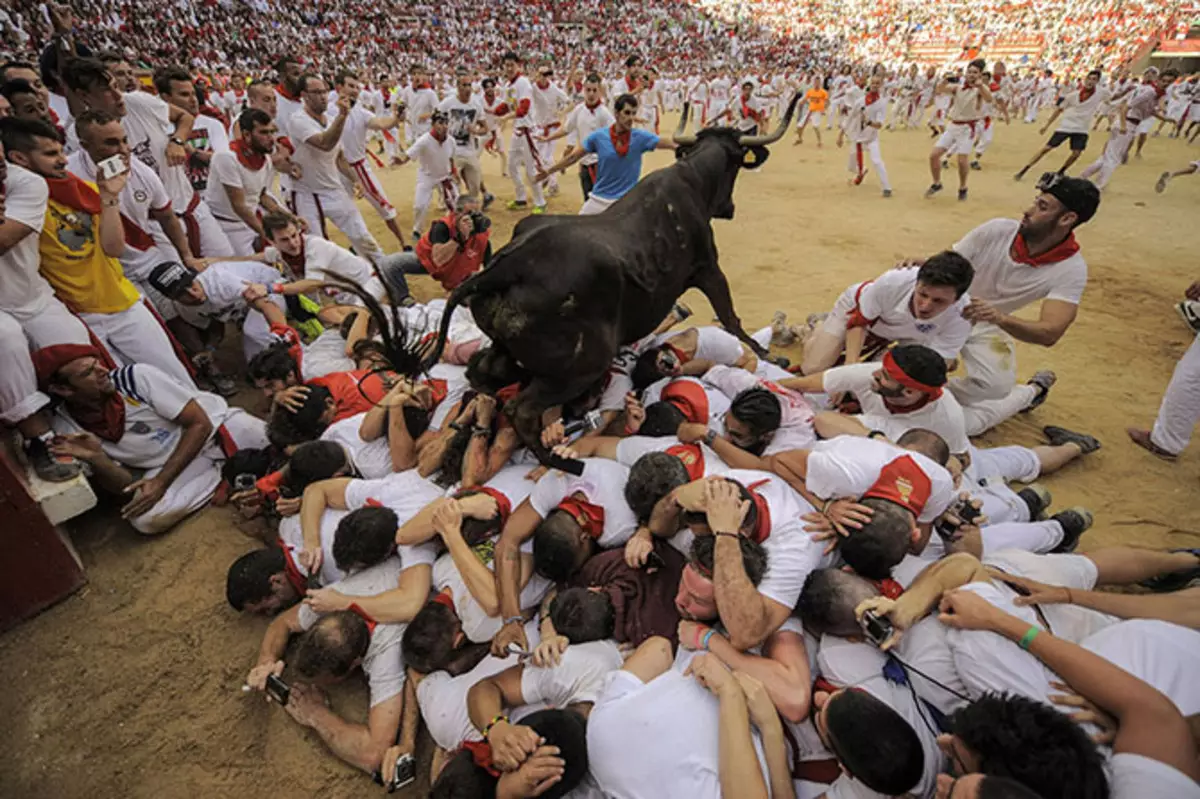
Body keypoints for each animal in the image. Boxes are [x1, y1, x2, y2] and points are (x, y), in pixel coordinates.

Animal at [410, 94, 796, 470]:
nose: (729, 208)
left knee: (483, 374)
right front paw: (769, 355)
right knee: (522, 409)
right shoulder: (708, 269)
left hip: (507, 348)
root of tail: (506, 267)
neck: (692, 179)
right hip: (581, 366)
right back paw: (560, 460)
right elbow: (730, 316)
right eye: (736, 164)